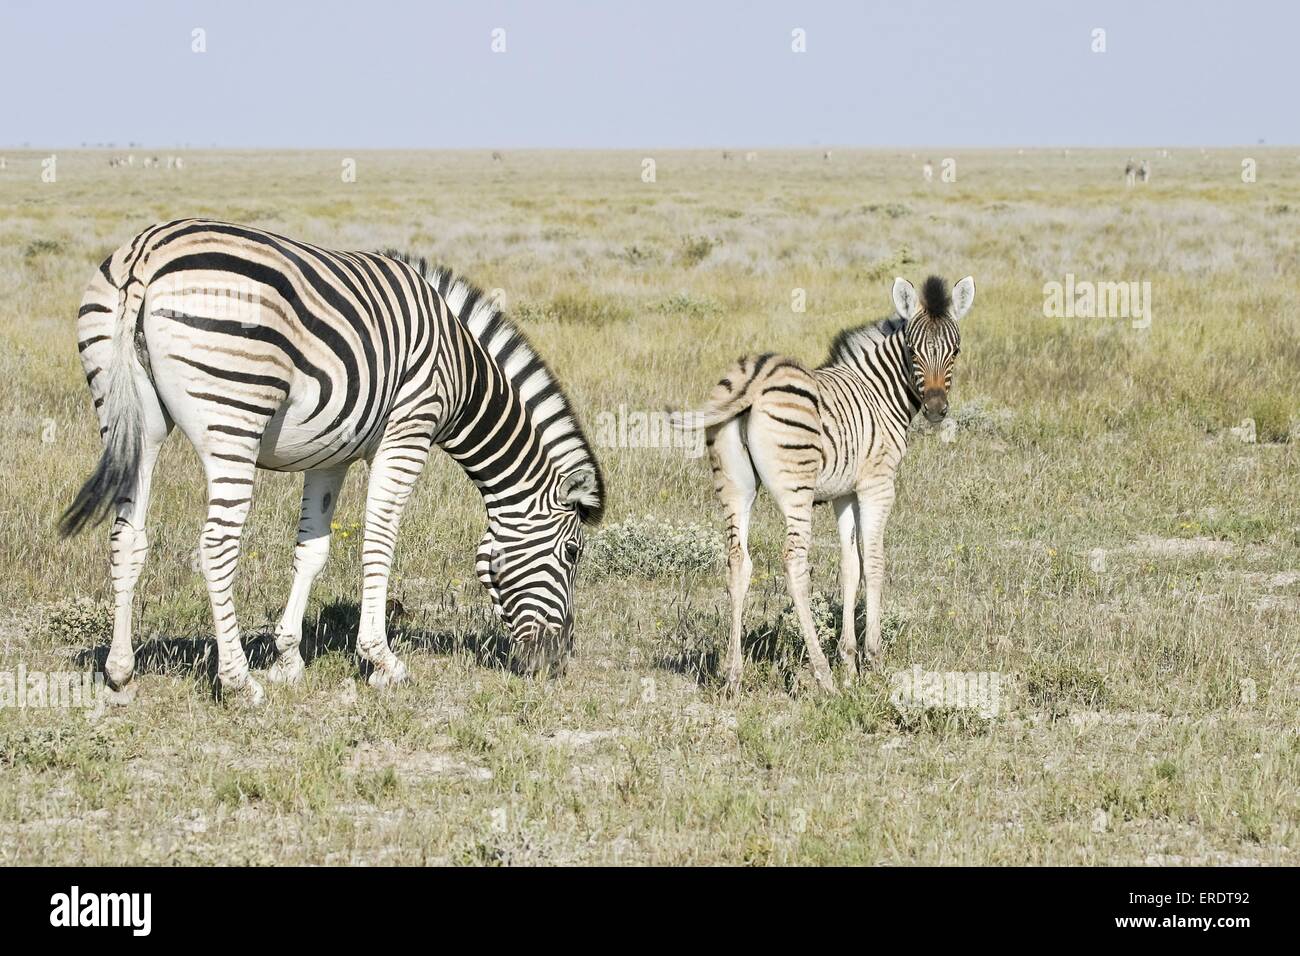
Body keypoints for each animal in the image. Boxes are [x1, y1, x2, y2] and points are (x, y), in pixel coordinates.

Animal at [62, 219, 604, 704]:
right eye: (573, 552)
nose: (556, 662)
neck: (462, 373)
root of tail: (145, 254)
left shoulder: (329, 454)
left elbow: (312, 550)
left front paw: (288, 657)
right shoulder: (408, 432)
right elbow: (379, 542)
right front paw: (381, 660)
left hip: (135, 422)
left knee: (127, 536)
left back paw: (121, 672)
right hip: (233, 419)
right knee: (216, 547)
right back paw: (239, 683)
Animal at [674, 275, 975, 695]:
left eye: (955, 351)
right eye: (913, 350)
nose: (935, 409)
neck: (880, 392)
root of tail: (757, 374)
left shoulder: (843, 493)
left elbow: (851, 565)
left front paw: (848, 660)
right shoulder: (877, 485)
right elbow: (875, 561)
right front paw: (871, 660)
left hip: (734, 487)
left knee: (738, 560)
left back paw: (734, 676)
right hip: (796, 489)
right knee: (794, 562)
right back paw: (823, 677)